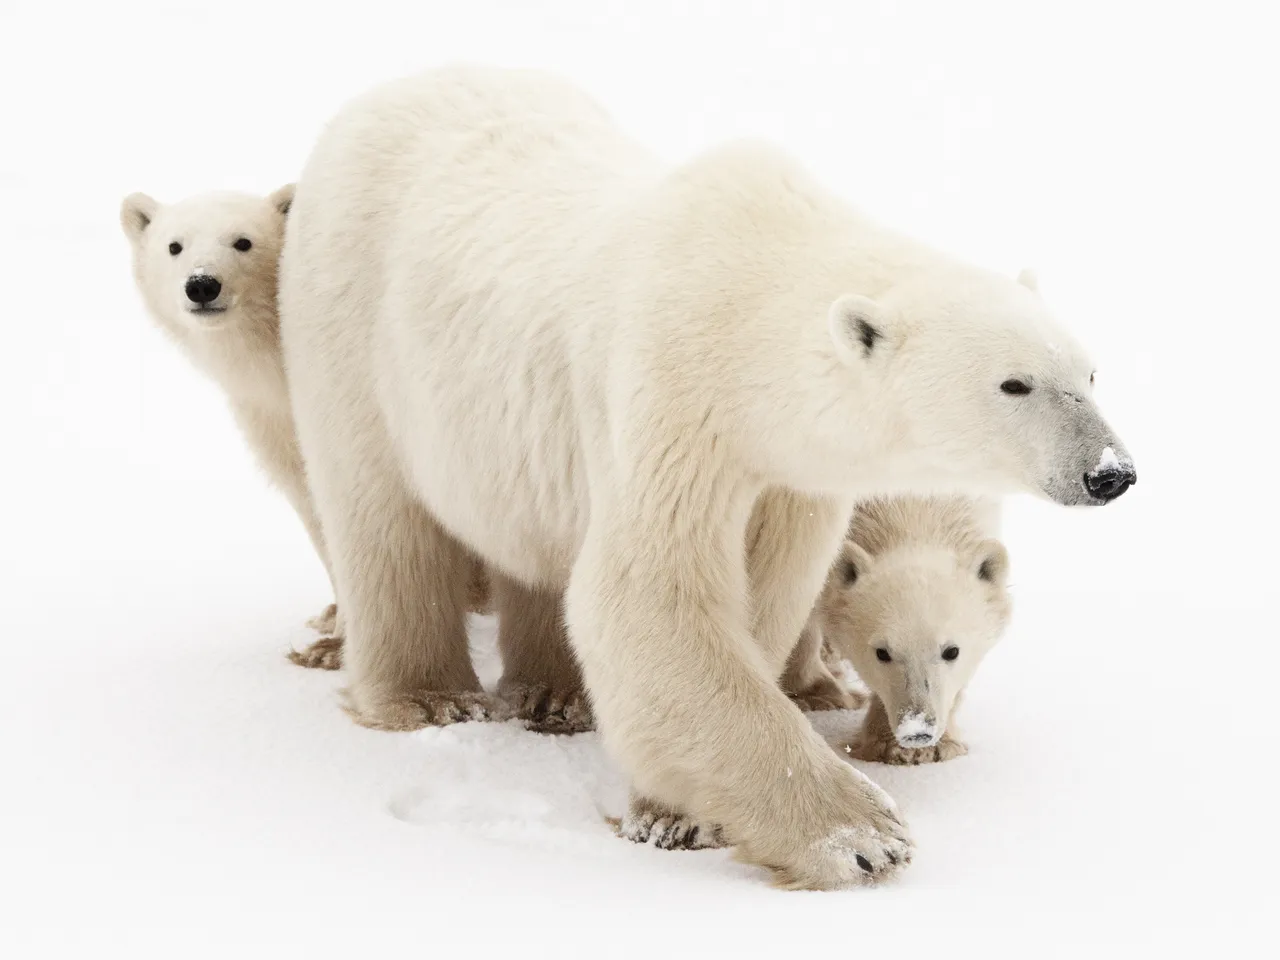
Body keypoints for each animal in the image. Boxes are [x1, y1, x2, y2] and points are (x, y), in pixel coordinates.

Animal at [278, 66, 1136, 889]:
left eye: (1090, 372)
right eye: (1015, 384)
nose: (1111, 473)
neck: (747, 308)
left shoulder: (786, 473)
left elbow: (759, 595)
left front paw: (680, 811)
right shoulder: (671, 395)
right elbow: (648, 597)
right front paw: (860, 836)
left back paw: (553, 694)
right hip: (351, 324)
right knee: (382, 514)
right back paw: (429, 695)